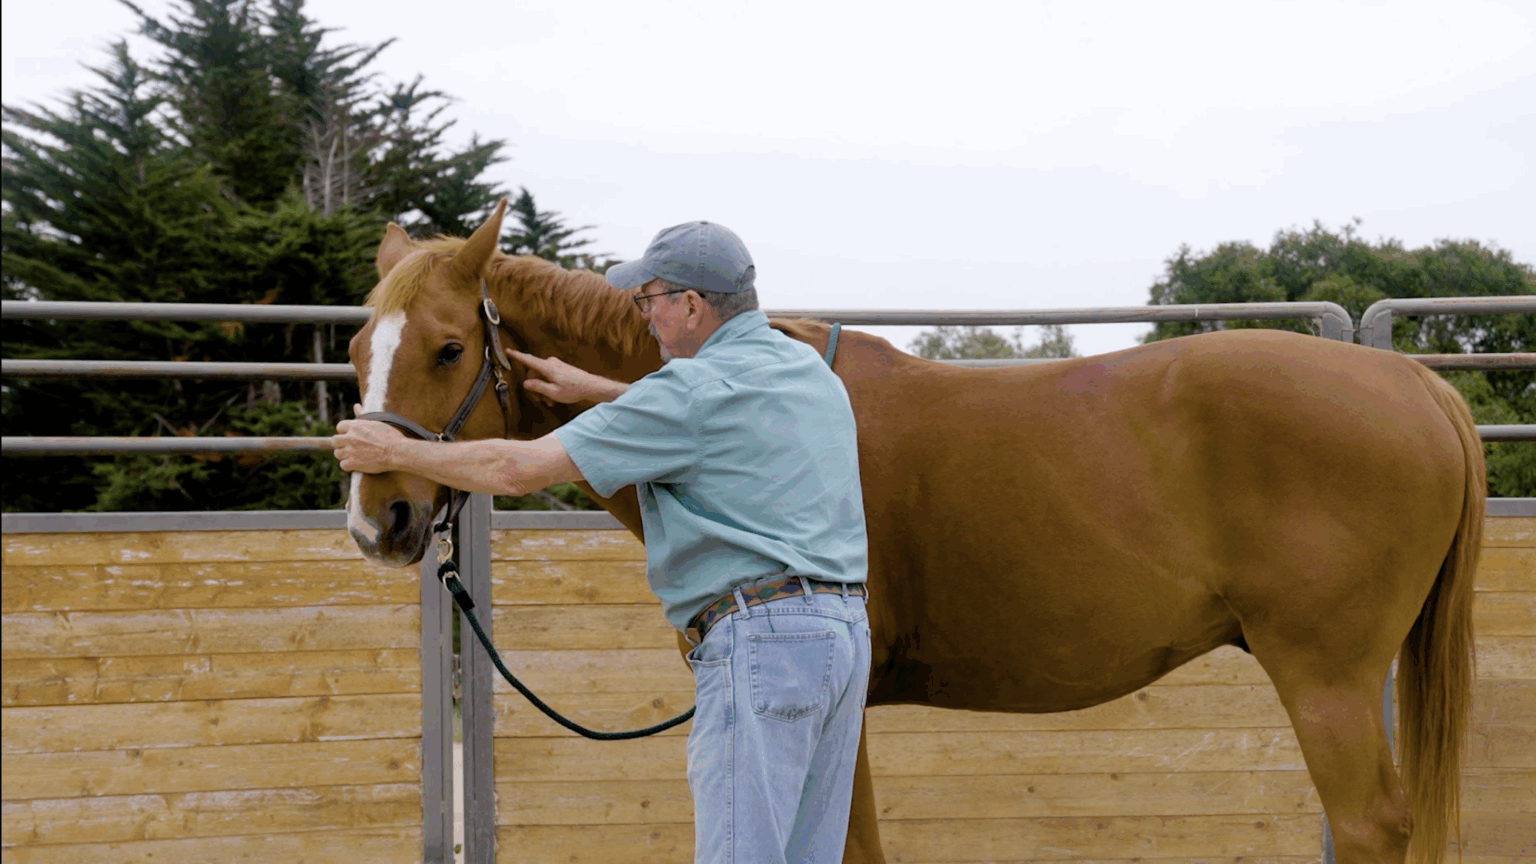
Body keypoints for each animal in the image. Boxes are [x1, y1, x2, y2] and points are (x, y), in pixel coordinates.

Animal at [345, 200, 1482, 864]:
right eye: (358, 346)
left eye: (448, 348)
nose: (376, 517)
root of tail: (1414, 386)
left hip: (1327, 678)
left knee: (1372, 825)